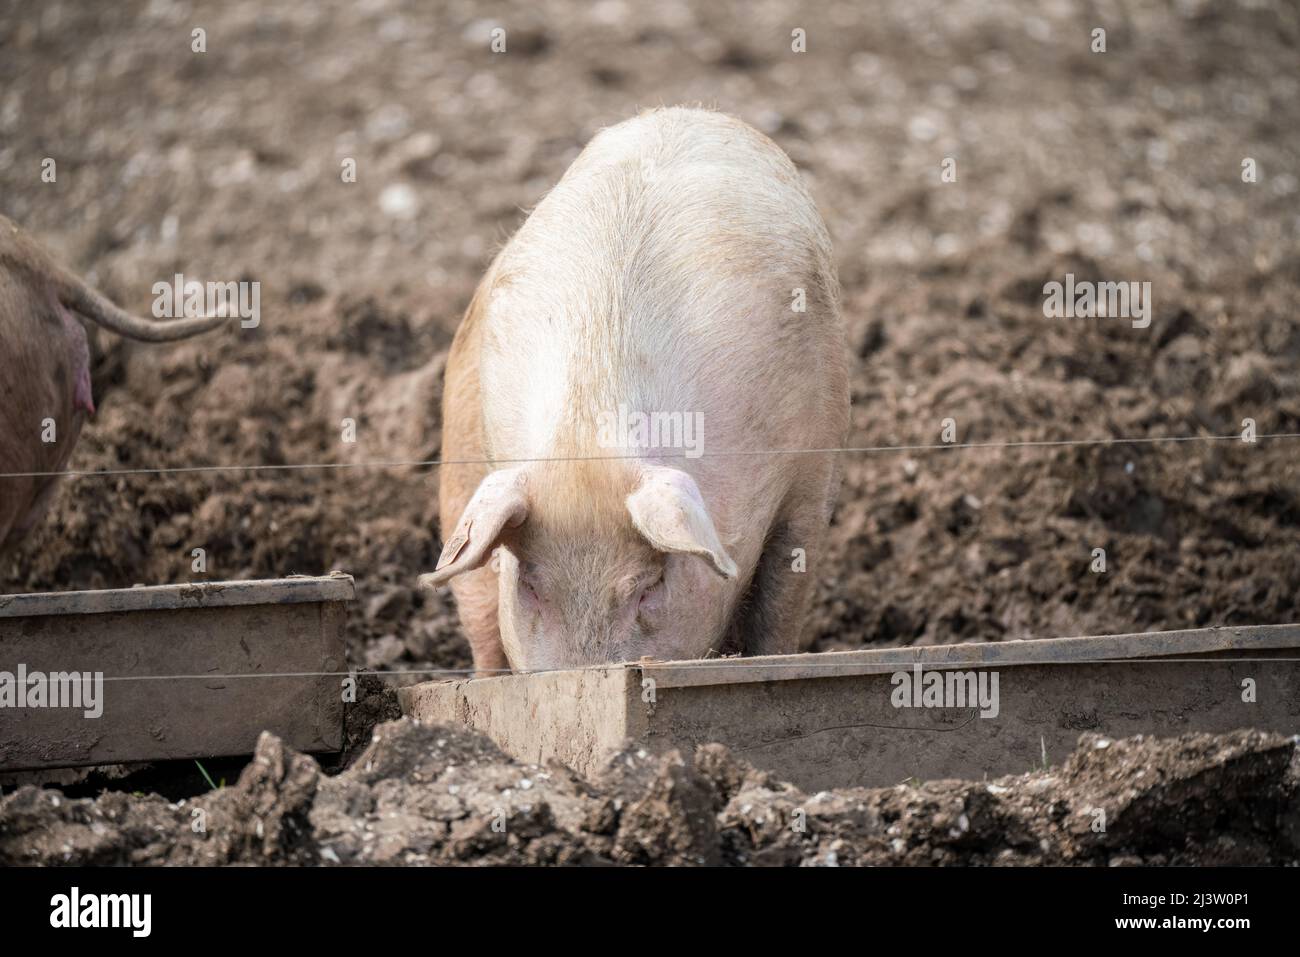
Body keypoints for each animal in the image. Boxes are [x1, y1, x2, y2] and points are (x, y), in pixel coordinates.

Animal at [423, 107, 849, 672]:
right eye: (530, 584)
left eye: (649, 584)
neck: (589, 435)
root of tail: (688, 110)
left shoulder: (812, 467)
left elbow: (779, 608)